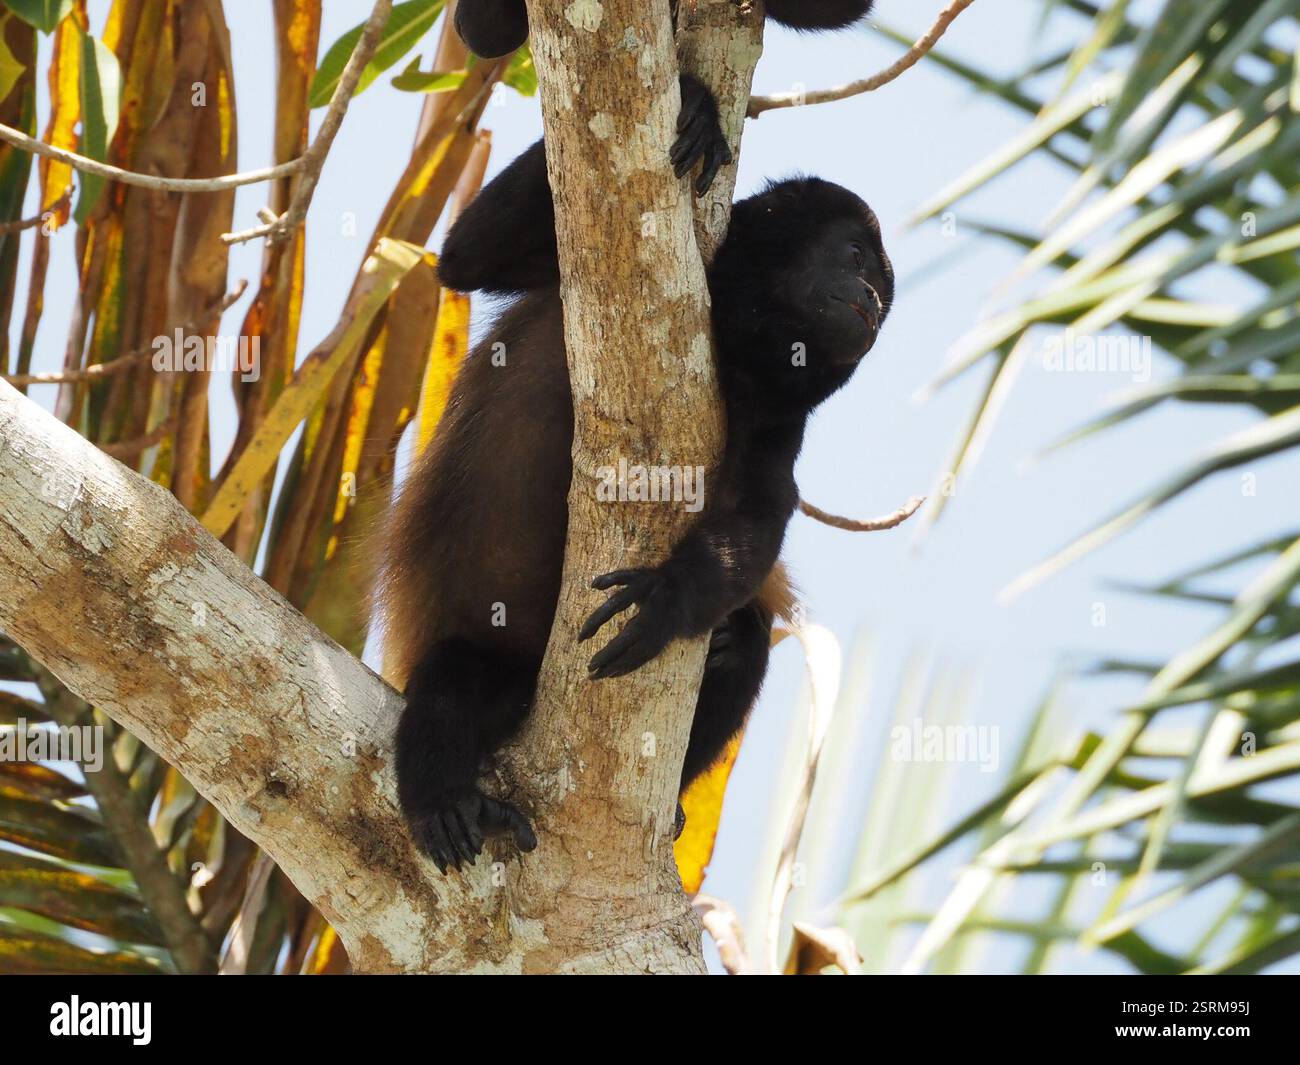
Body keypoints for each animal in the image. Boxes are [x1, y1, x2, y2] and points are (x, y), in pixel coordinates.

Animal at [379, 74, 893, 879]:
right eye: (854, 254)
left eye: (881, 283)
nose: (872, 300)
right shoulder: (555, 271)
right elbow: (466, 258)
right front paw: (697, 105)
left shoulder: (776, 419)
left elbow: (760, 510)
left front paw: (667, 599)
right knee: (450, 687)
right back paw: (444, 800)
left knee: (747, 643)